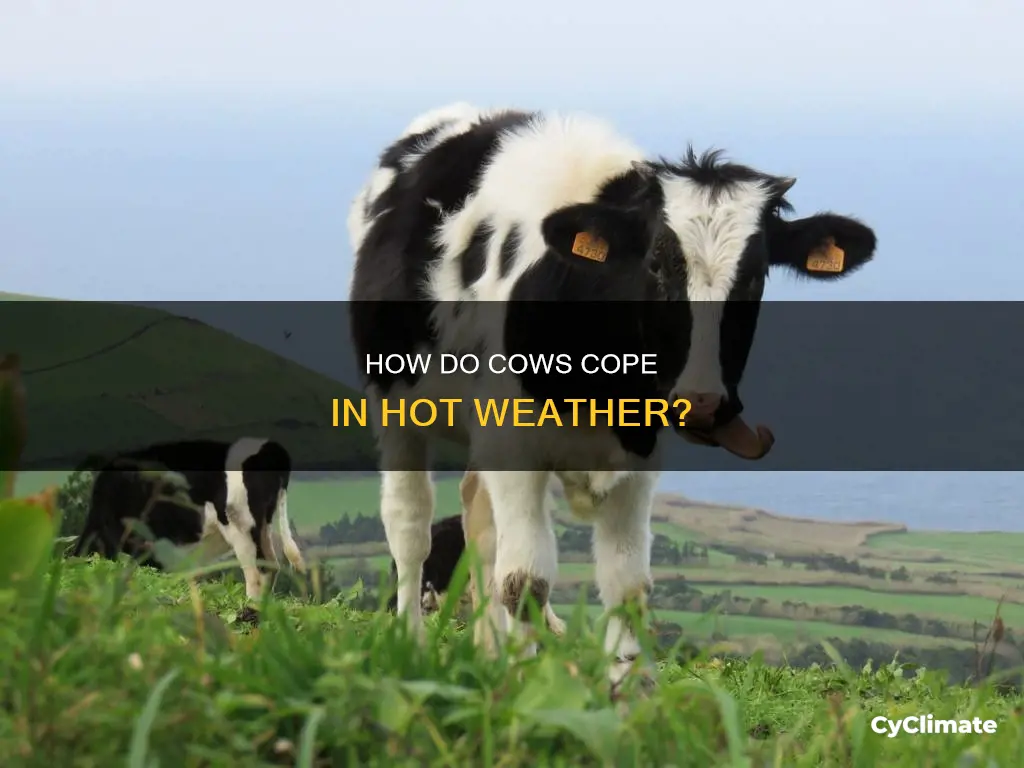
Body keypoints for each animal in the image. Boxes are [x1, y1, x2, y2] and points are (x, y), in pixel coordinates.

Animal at [347, 102, 877, 692]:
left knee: (477, 518)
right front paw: (527, 685)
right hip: (394, 400)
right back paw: (411, 642)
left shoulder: (639, 454)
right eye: (655, 264)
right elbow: (525, 579)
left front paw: (627, 689)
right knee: (410, 526)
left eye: (756, 275)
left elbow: (627, 585)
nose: (703, 402)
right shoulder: (514, 445)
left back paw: (487, 652)